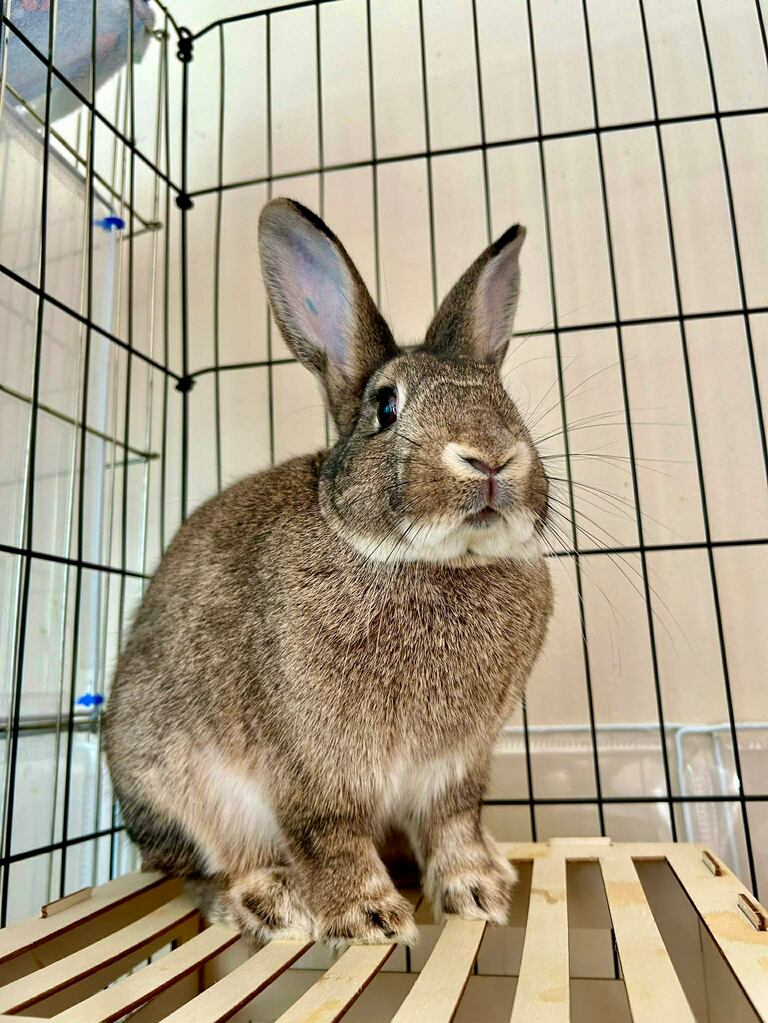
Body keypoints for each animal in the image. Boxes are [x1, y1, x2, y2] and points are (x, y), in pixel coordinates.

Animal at [104, 198, 553, 947]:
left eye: (505, 399)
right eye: (386, 407)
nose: (490, 457)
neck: (425, 559)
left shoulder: (454, 771)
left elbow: (455, 825)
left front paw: (478, 894)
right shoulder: (315, 769)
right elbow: (333, 837)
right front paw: (371, 918)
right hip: (179, 788)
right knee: (204, 872)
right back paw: (271, 900)